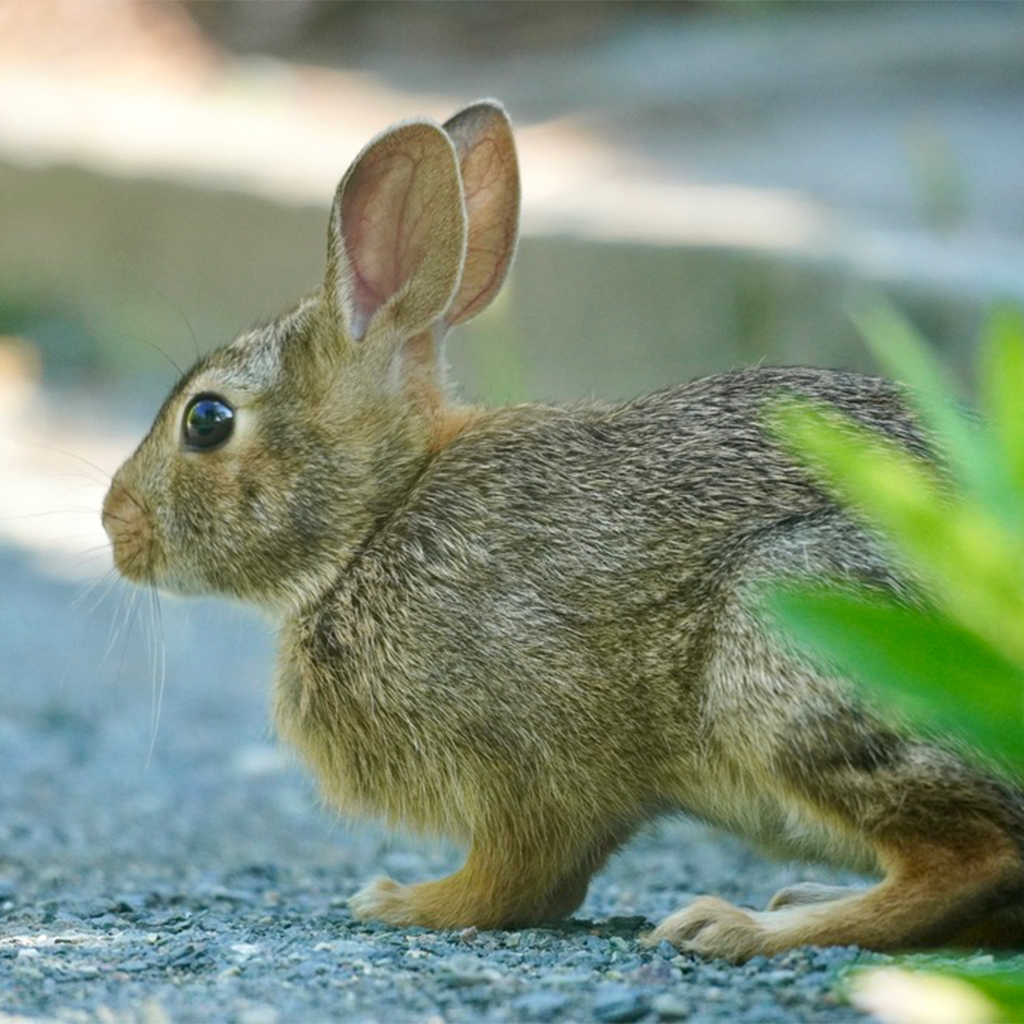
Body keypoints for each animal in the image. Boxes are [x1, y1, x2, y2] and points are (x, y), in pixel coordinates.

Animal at [102, 99, 1024, 962]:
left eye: (208, 420)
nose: (114, 524)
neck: (381, 518)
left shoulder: (524, 765)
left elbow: (520, 881)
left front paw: (406, 903)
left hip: (798, 645)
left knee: (978, 859)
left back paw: (737, 927)